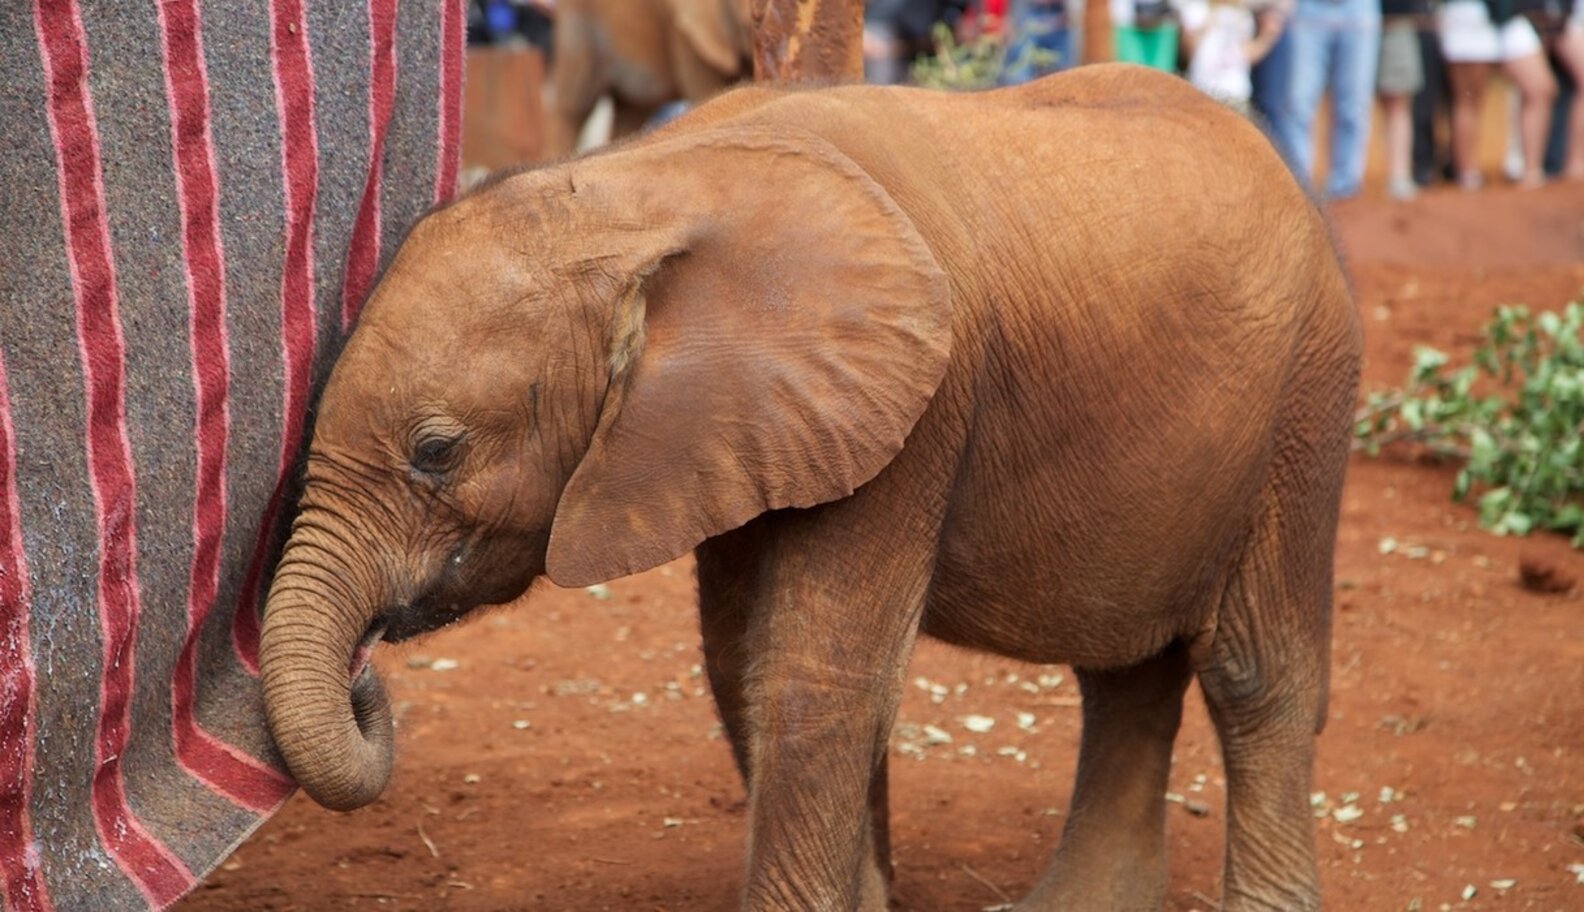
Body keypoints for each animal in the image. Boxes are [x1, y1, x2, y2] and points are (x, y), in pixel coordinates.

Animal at [259, 64, 1362, 911]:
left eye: (436, 451)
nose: (366, 679)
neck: (644, 185)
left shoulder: (916, 407)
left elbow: (816, 680)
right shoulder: (738, 430)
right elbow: (738, 663)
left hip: (1307, 398)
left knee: (1254, 672)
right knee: (1123, 670)